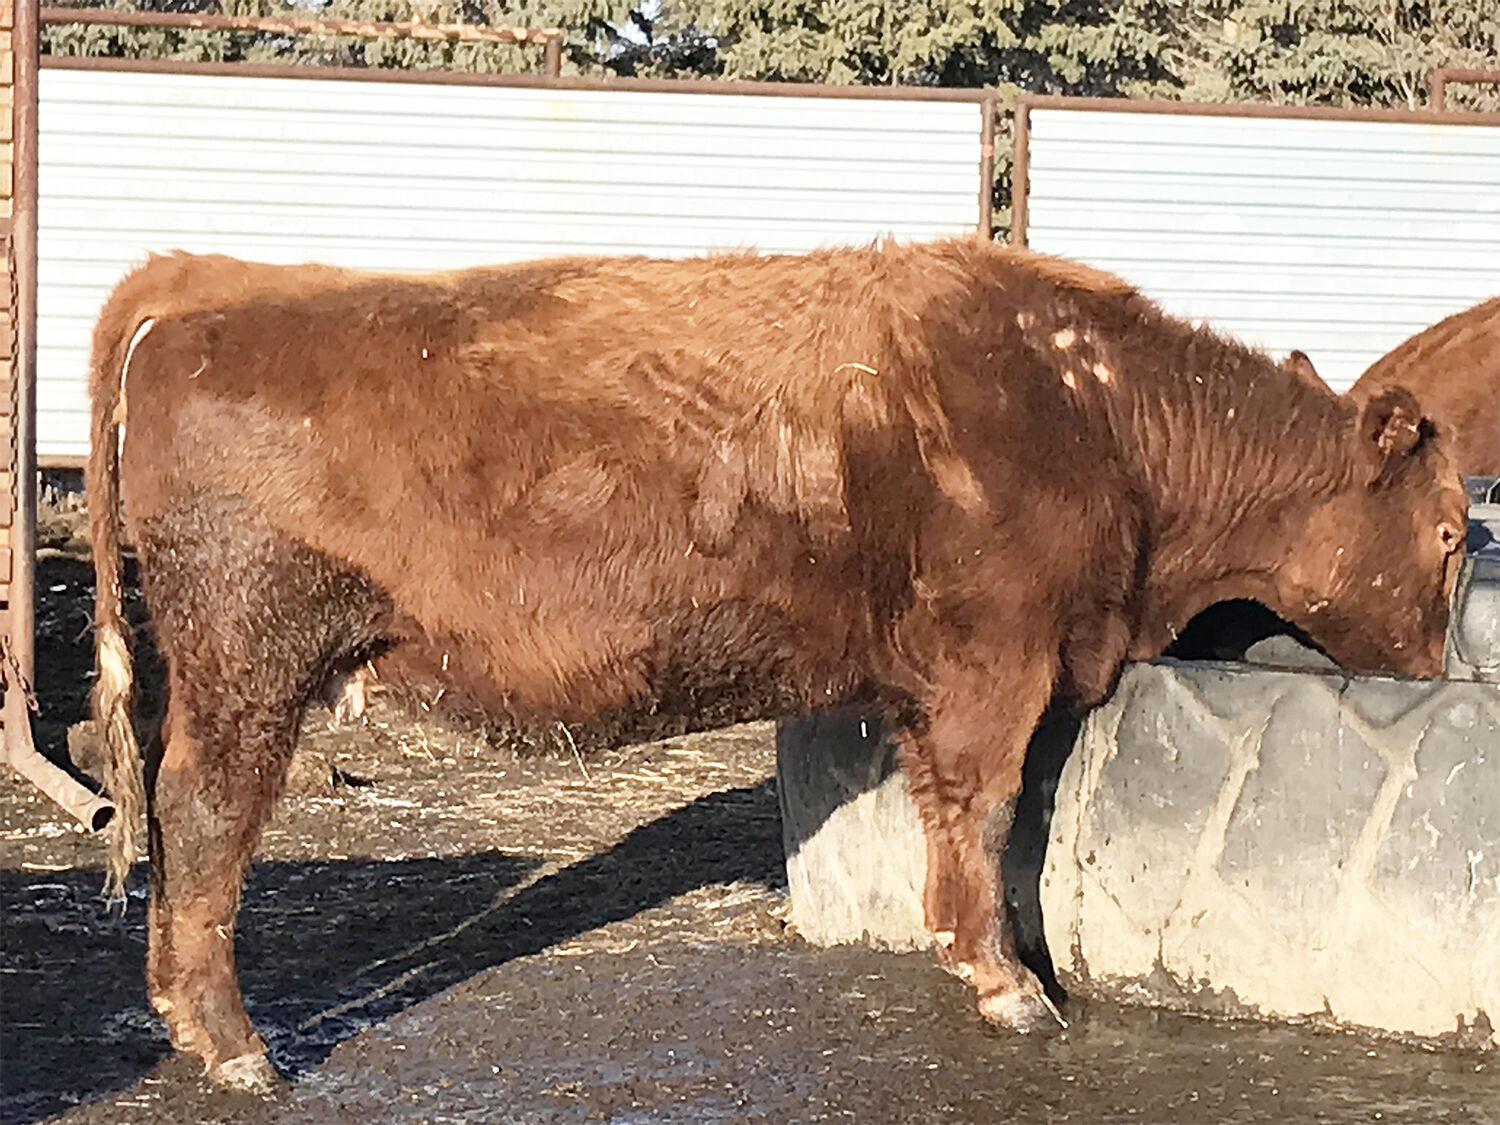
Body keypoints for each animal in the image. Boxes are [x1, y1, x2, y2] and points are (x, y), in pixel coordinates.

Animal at [85, 239, 1469, 1092]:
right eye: (1455, 531)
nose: (1437, 670)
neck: (1094, 411)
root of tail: (217, 286)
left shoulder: (936, 685)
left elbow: (948, 814)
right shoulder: (996, 662)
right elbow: (985, 810)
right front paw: (1010, 985)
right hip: (247, 664)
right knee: (203, 823)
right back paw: (234, 1046)